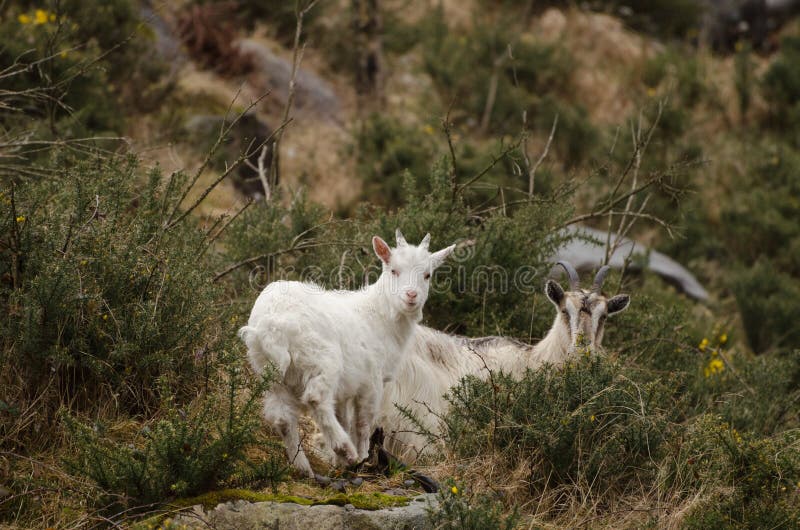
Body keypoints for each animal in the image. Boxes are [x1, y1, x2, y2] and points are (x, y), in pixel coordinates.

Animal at [239, 230, 455, 477]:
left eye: (428, 275)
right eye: (393, 270)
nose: (411, 296)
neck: (379, 315)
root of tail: (271, 326)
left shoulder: (346, 387)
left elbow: (344, 418)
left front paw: (337, 462)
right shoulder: (372, 380)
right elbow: (362, 423)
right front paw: (362, 457)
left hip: (271, 373)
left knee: (283, 418)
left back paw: (303, 467)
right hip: (321, 359)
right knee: (316, 398)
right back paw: (346, 450)